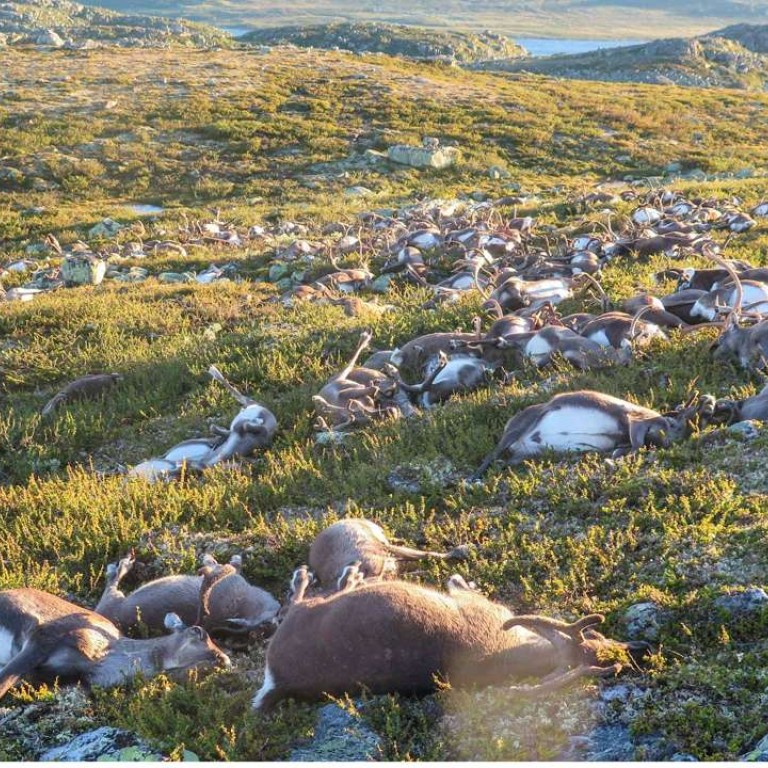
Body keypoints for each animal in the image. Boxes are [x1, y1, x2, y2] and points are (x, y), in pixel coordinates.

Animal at [251, 567, 646, 710]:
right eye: (595, 631)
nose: (638, 650)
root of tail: (278, 680)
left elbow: (458, 585)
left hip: (305, 615)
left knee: (297, 602)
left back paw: (332, 576)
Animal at [470, 389, 716, 480]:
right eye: (675, 423)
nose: (667, 441)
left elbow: (625, 449)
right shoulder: (635, 422)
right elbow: (635, 444)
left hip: (524, 455)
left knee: (505, 461)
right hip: (517, 430)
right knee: (491, 455)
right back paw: (474, 477)